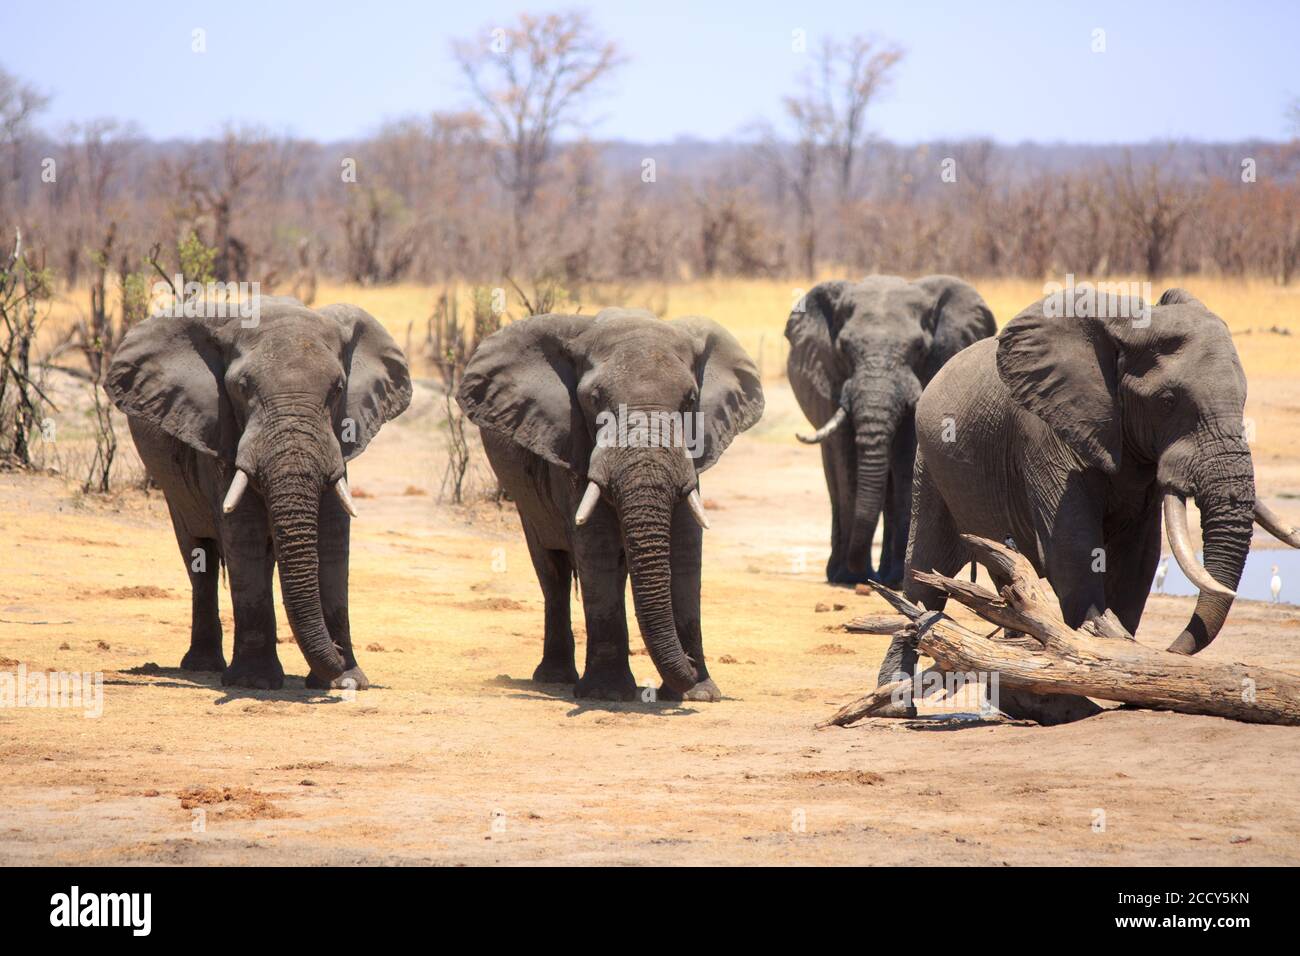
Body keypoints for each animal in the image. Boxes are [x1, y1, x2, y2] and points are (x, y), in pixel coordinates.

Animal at [105, 295, 412, 690]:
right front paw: (255, 682)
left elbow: (332, 536)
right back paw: (202, 666)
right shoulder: (220, 432)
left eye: (338, 389)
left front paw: (346, 681)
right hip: (171, 485)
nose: (337, 654)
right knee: (199, 555)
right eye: (242, 387)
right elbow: (244, 533)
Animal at [457, 308, 764, 701]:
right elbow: (596, 546)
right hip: (524, 501)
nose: (691, 664)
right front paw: (608, 694)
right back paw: (554, 678)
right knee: (552, 571)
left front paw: (699, 694)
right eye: (593, 399)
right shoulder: (572, 444)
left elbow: (685, 548)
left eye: (690, 401)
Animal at [785, 275, 995, 587]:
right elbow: (846, 459)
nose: (862, 576)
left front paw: (895, 579)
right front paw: (848, 577)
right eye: (843, 349)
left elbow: (907, 456)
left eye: (919, 348)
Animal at [879, 286, 1300, 688]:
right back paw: (897, 697)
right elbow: (1073, 550)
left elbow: (1137, 560)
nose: (1170, 650)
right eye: (1167, 401)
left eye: (1243, 399)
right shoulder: (1046, 434)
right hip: (930, 465)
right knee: (924, 577)